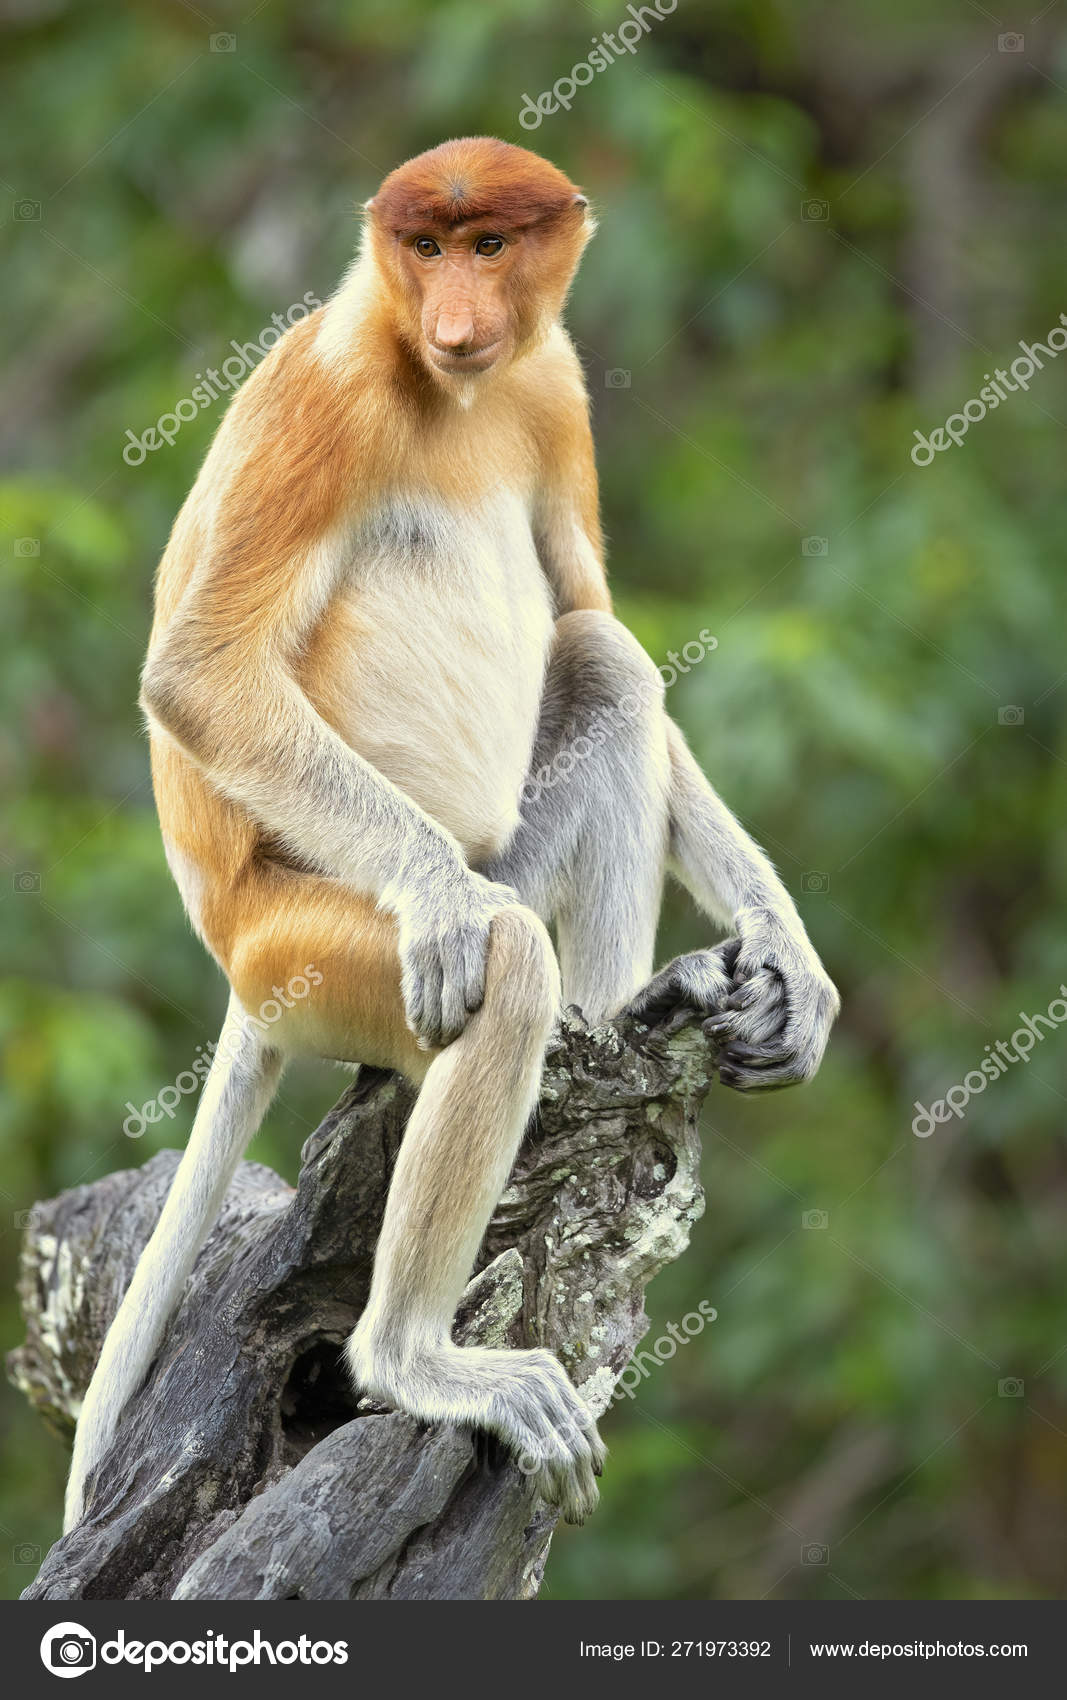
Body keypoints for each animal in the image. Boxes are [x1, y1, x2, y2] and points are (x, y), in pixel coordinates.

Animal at [64, 137, 839, 1534]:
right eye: (424, 248)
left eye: (488, 247)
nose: (457, 319)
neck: (452, 388)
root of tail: (236, 957)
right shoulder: (325, 394)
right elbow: (199, 674)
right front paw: (446, 908)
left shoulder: (553, 385)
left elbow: (586, 600)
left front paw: (787, 965)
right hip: (310, 953)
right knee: (503, 960)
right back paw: (414, 1358)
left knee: (604, 661)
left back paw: (629, 1010)